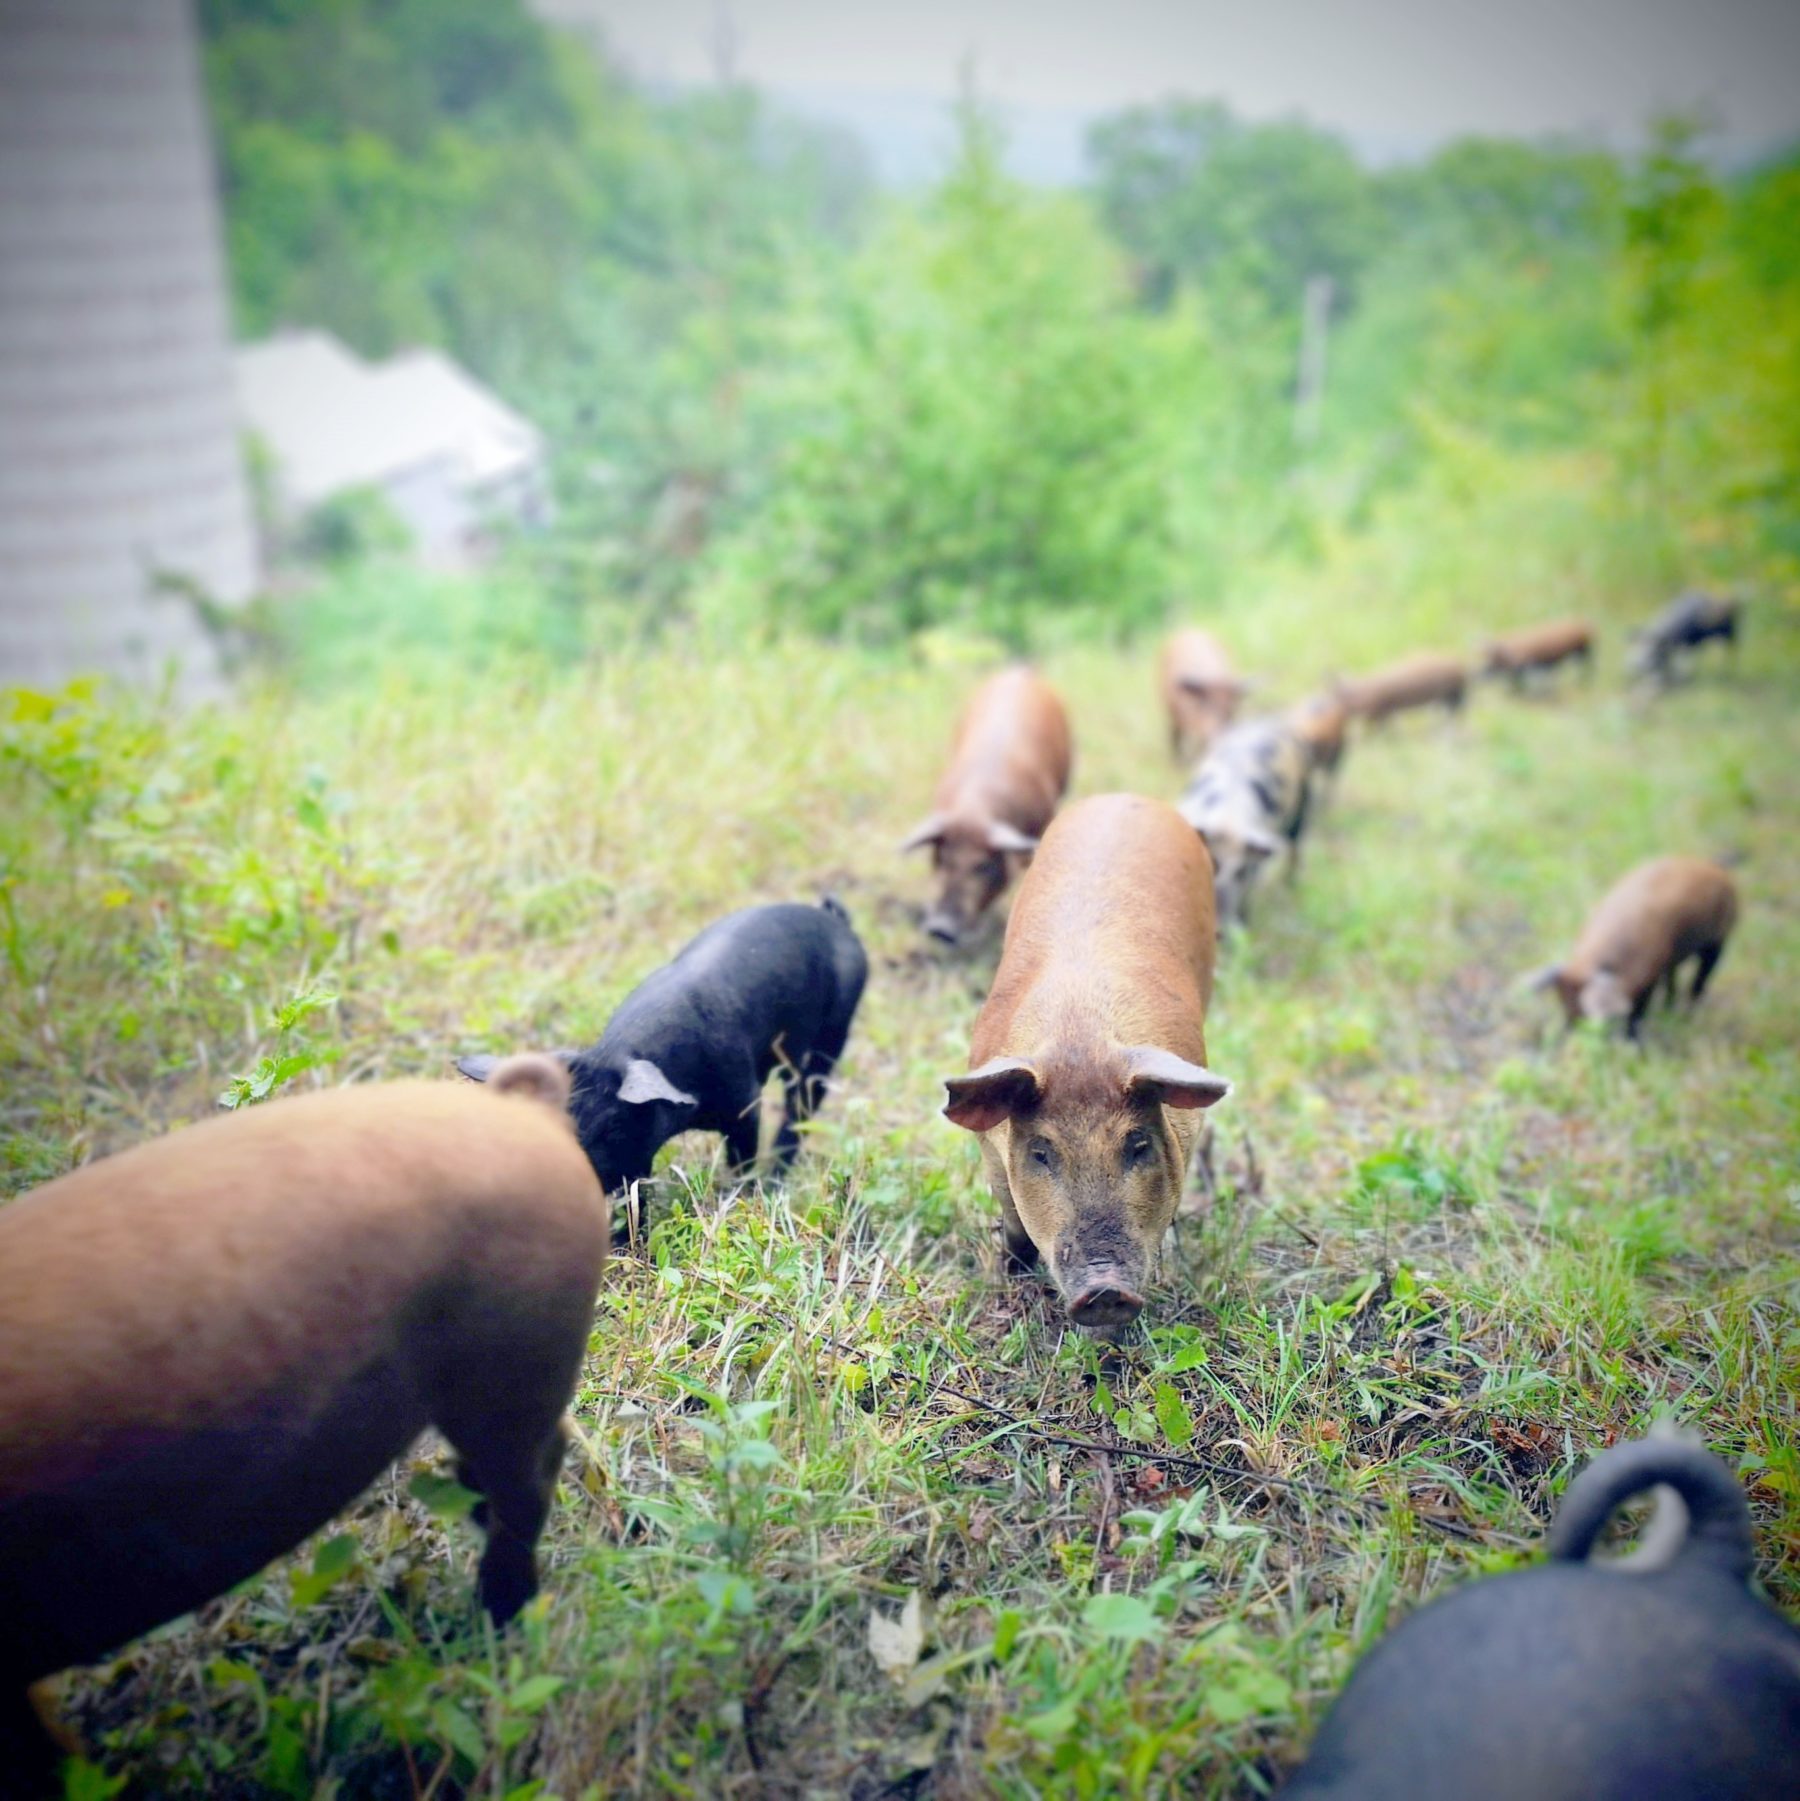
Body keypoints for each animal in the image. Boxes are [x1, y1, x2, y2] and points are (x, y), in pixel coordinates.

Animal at [460, 898, 867, 1192]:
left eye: (613, 1126)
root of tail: (837, 920)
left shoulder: (746, 1103)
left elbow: (741, 1160)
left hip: (833, 1034)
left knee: (803, 1102)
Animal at [940, 793, 1231, 1336]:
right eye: (1040, 1152)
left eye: (1138, 1145)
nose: (1105, 1291)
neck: (1082, 1035)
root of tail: (1126, 797)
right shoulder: (990, 1152)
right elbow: (1014, 1224)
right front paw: (1013, 1277)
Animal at [1177, 717, 1313, 929]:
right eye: (1209, 864)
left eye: (1240, 872)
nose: (1219, 928)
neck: (1227, 820)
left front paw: (1242, 927)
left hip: (1303, 801)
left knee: (1295, 844)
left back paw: (1291, 885)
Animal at [1529, 855, 1738, 1039]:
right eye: (1563, 1005)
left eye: (1584, 1012)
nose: (1573, 1037)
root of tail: (1720, 872)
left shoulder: (1649, 978)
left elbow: (1637, 1014)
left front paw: (1633, 1043)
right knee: (1673, 978)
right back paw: (1668, 1009)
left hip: (1718, 940)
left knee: (1700, 980)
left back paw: (1687, 1016)